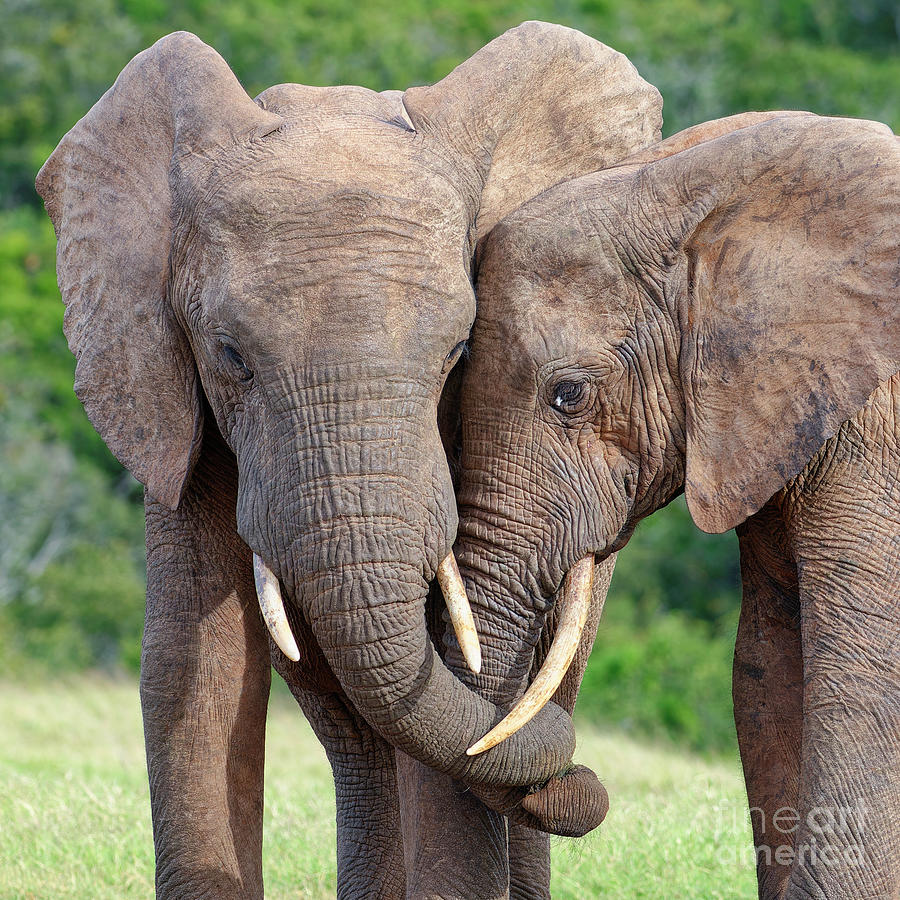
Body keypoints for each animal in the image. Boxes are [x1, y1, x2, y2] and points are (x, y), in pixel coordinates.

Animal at [36, 22, 663, 899]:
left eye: (460, 351)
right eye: (229, 356)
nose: (582, 779)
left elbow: (451, 669)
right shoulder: (168, 389)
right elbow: (195, 661)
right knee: (350, 726)